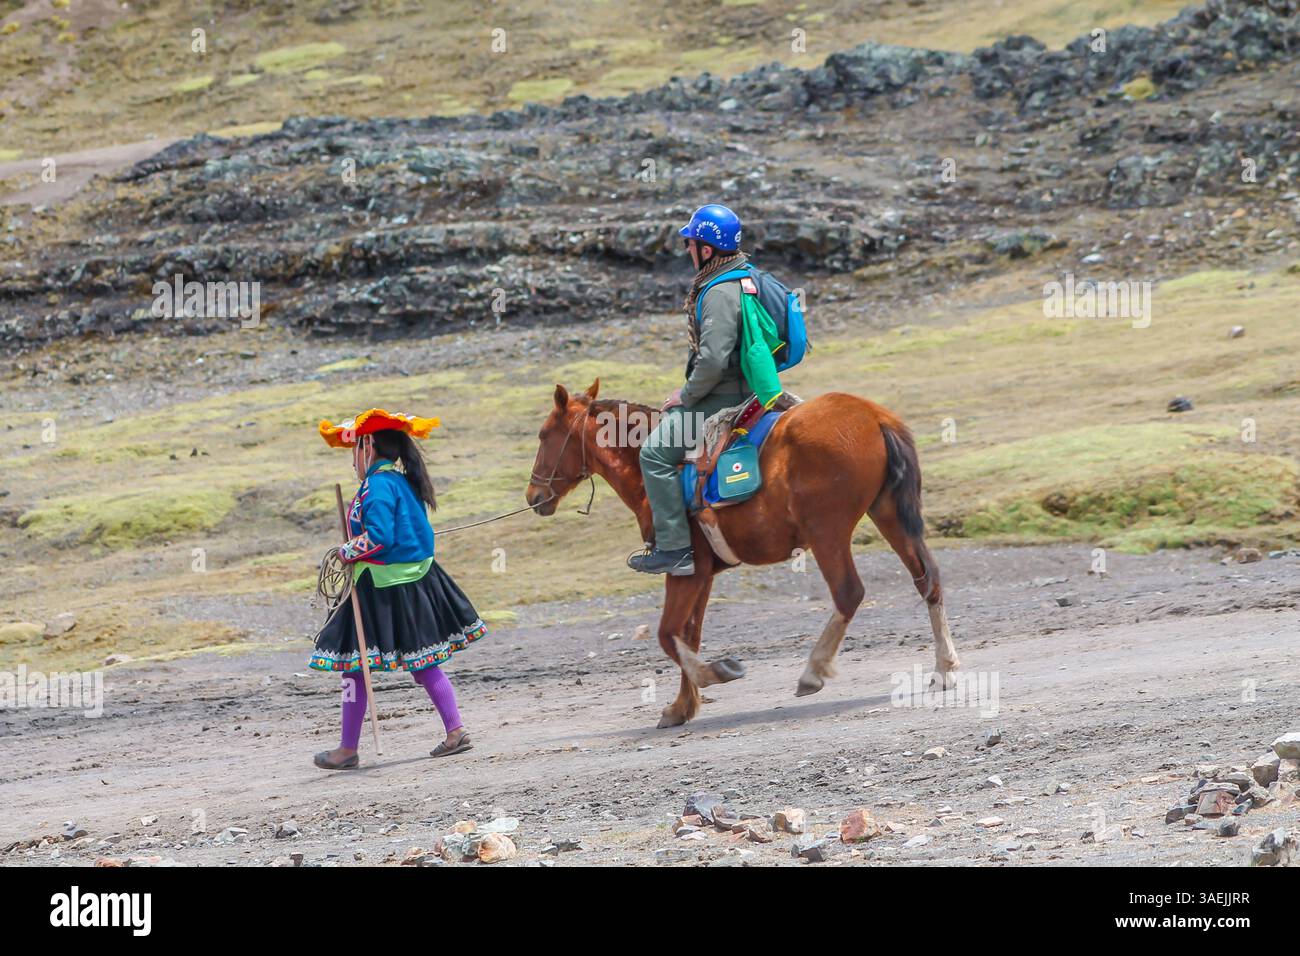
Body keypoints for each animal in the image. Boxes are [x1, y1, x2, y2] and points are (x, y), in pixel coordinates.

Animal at [525, 379, 961, 729]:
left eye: (544, 435)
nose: (533, 495)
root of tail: (873, 415)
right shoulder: (701, 574)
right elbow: (688, 634)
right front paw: (682, 706)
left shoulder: (682, 569)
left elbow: (668, 634)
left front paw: (714, 674)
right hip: (889, 514)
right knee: (929, 580)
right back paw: (944, 668)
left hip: (828, 533)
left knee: (849, 593)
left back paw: (813, 671)